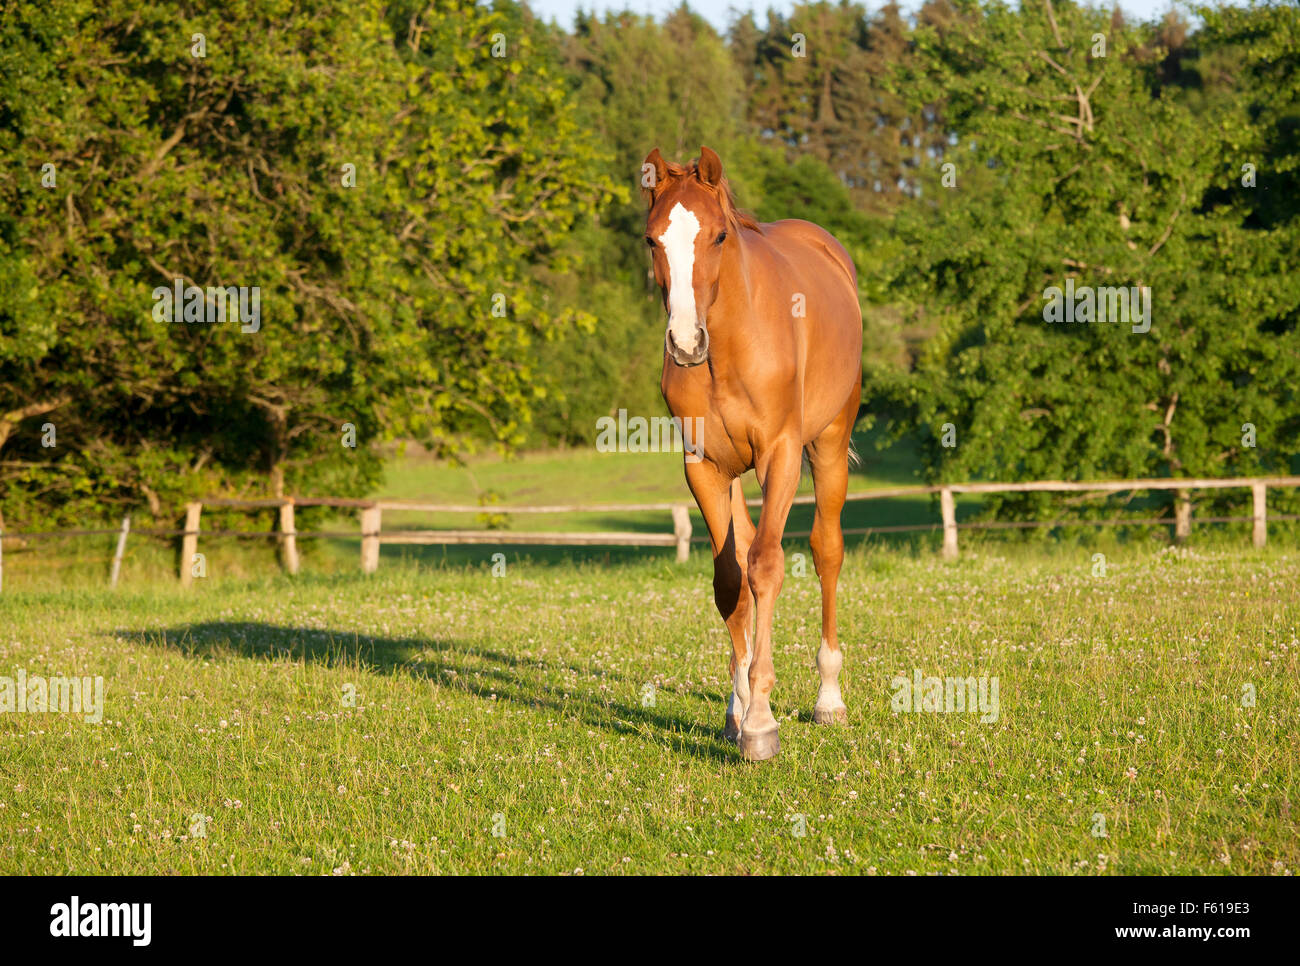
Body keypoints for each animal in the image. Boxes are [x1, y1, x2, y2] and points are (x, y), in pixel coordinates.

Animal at [642, 146, 863, 762]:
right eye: (652, 240)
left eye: (719, 236)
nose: (686, 342)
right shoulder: (704, 468)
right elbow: (729, 579)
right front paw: (738, 710)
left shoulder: (781, 455)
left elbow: (765, 565)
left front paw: (762, 721)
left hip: (828, 445)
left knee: (826, 552)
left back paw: (828, 698)